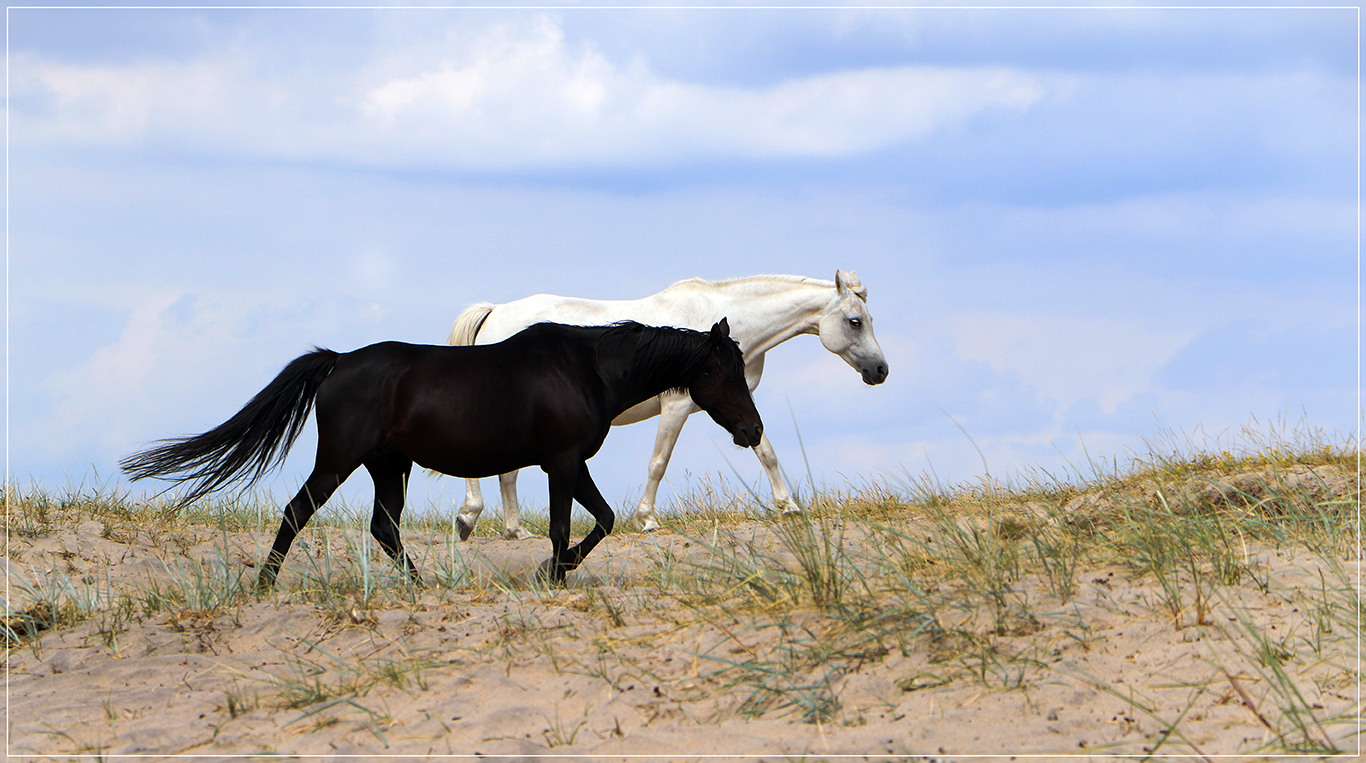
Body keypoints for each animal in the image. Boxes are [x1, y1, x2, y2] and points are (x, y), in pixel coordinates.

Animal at [120, 320, 762, 586]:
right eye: (724, 372)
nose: (753, 432)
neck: (586, 369)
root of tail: (337, 362)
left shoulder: (567, 464)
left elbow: (594, 520)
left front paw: (554, 571)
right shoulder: (563, 462)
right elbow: (572, 525)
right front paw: (551, 573)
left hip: (389, 466)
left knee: (383, 528)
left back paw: (419, 583)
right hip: (340, 461)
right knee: (298, 512)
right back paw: (265, 585)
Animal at [448, 271, 887, 538]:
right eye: (854, 321)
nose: (880, 370)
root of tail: (495, 313)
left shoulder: (740, 407)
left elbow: (766, 452)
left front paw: (789, 507)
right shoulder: (676, 408)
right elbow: (658, 462)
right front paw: (647, 519)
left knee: (507, 474)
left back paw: (515, 530)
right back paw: (469, 517)